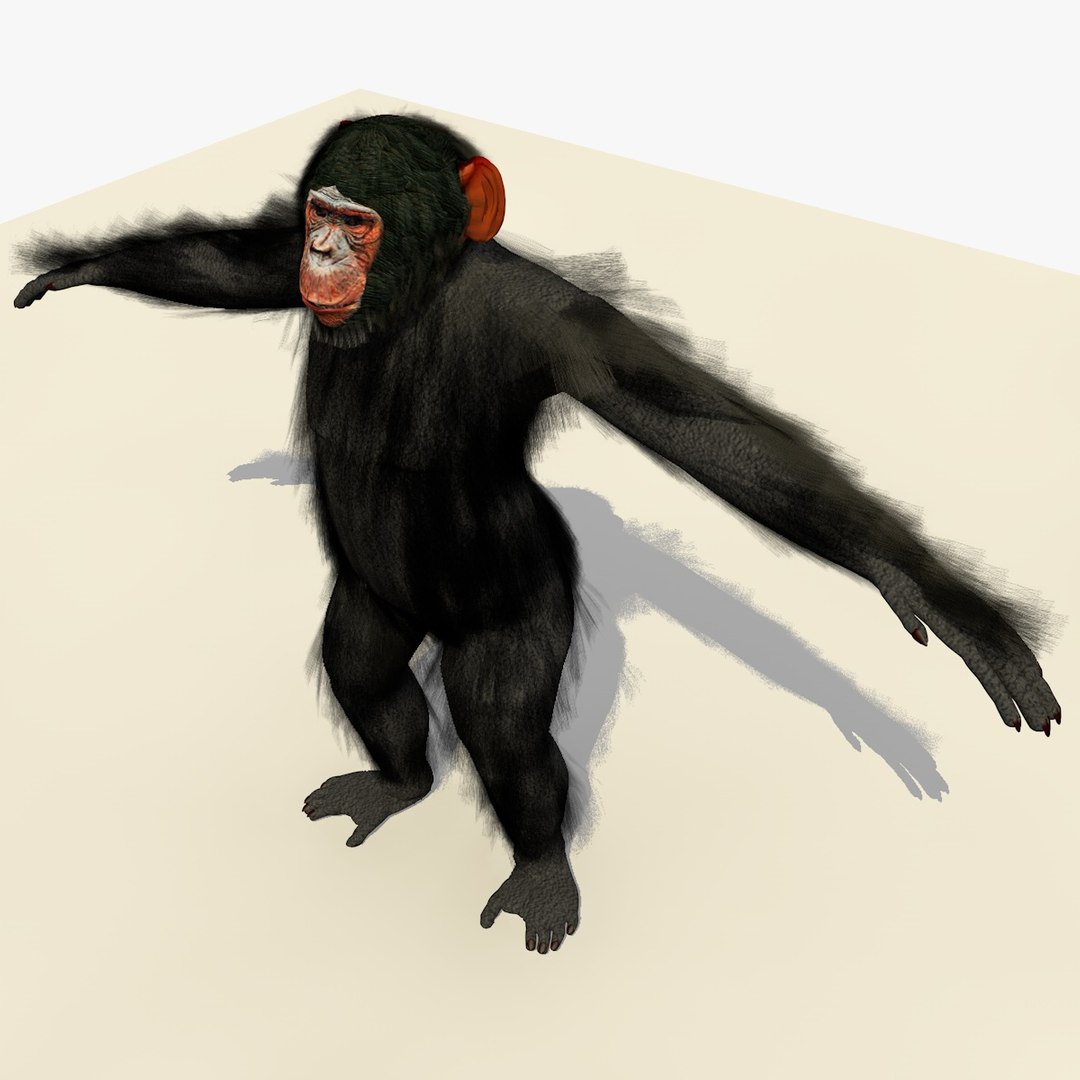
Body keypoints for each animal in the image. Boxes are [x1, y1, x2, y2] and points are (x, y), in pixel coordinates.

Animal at [13, 114, 1061, 957]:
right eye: (317, 211)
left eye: (362, 222)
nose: (323, 249)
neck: (418, 298)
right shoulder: (285, 272)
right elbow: (237, 264)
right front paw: (77, 265)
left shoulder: (558, 325)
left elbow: (704, 429)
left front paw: (941, 600)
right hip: (379, 602)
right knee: (361, 666)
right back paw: (397, 780)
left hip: (526, 601)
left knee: (506, 730)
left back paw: (541, 874)